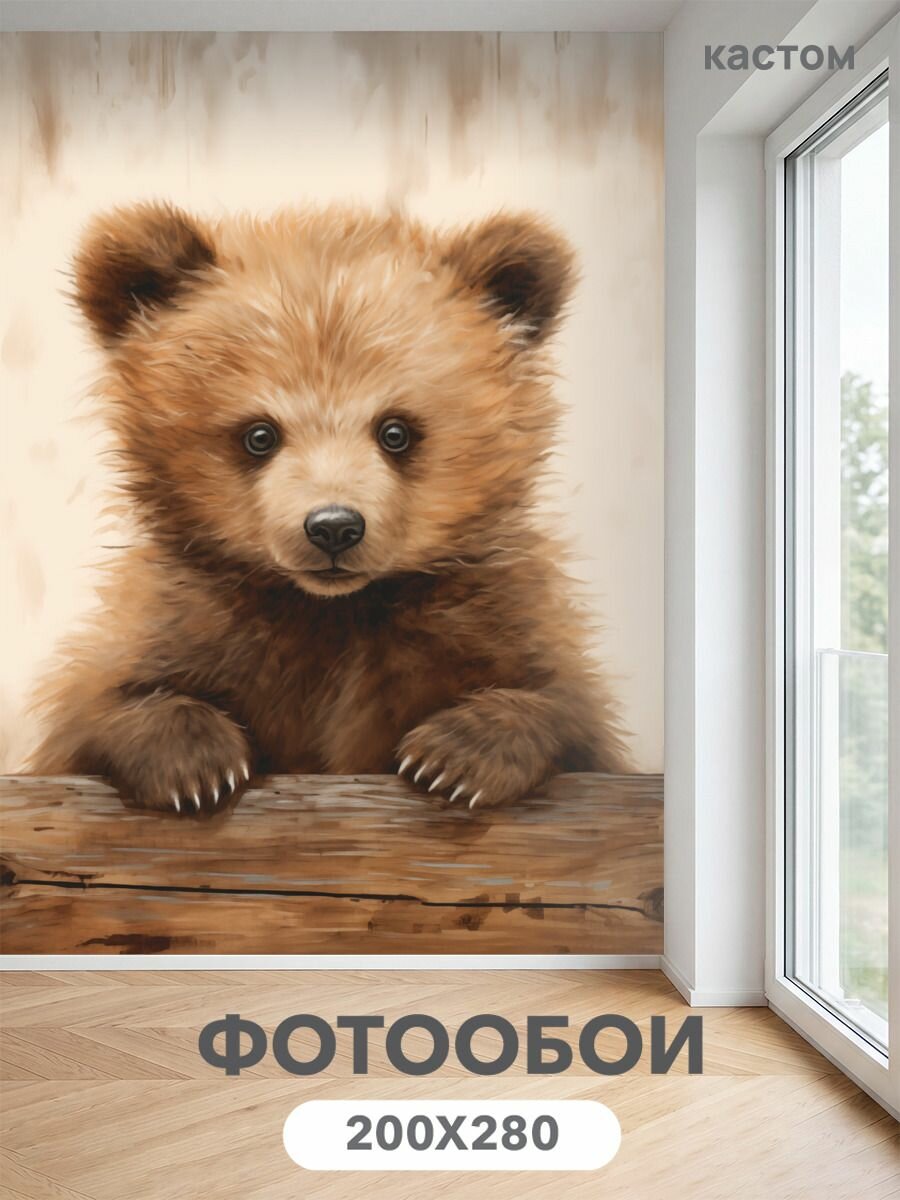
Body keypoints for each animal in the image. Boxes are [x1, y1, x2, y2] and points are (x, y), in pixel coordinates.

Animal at [28, 202, 630, 815]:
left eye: (395, 430)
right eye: (259, 434)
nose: (334, 528)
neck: (332, 611)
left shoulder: (490, 613)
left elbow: (568, 705)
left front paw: (454, 756)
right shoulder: (187, 617)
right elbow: (95, 702)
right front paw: (194, 763)